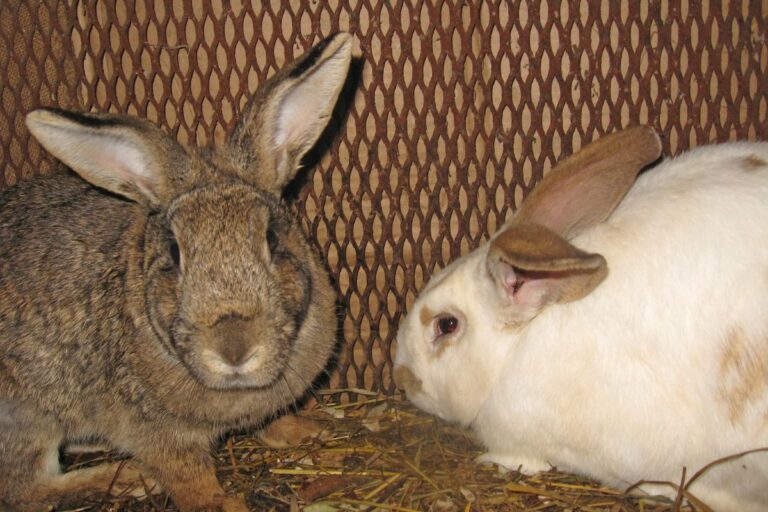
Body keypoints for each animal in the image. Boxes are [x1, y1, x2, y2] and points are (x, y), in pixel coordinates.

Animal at [0, 33, 353, 511]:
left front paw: (306, 432)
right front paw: (222, 504)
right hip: (25, 422)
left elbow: (270, 420)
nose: (234, 349)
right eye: (174, 252)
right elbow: (186, 476)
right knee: (25, 489)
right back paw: (125, 477)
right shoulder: (157, 433)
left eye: (272, 238)